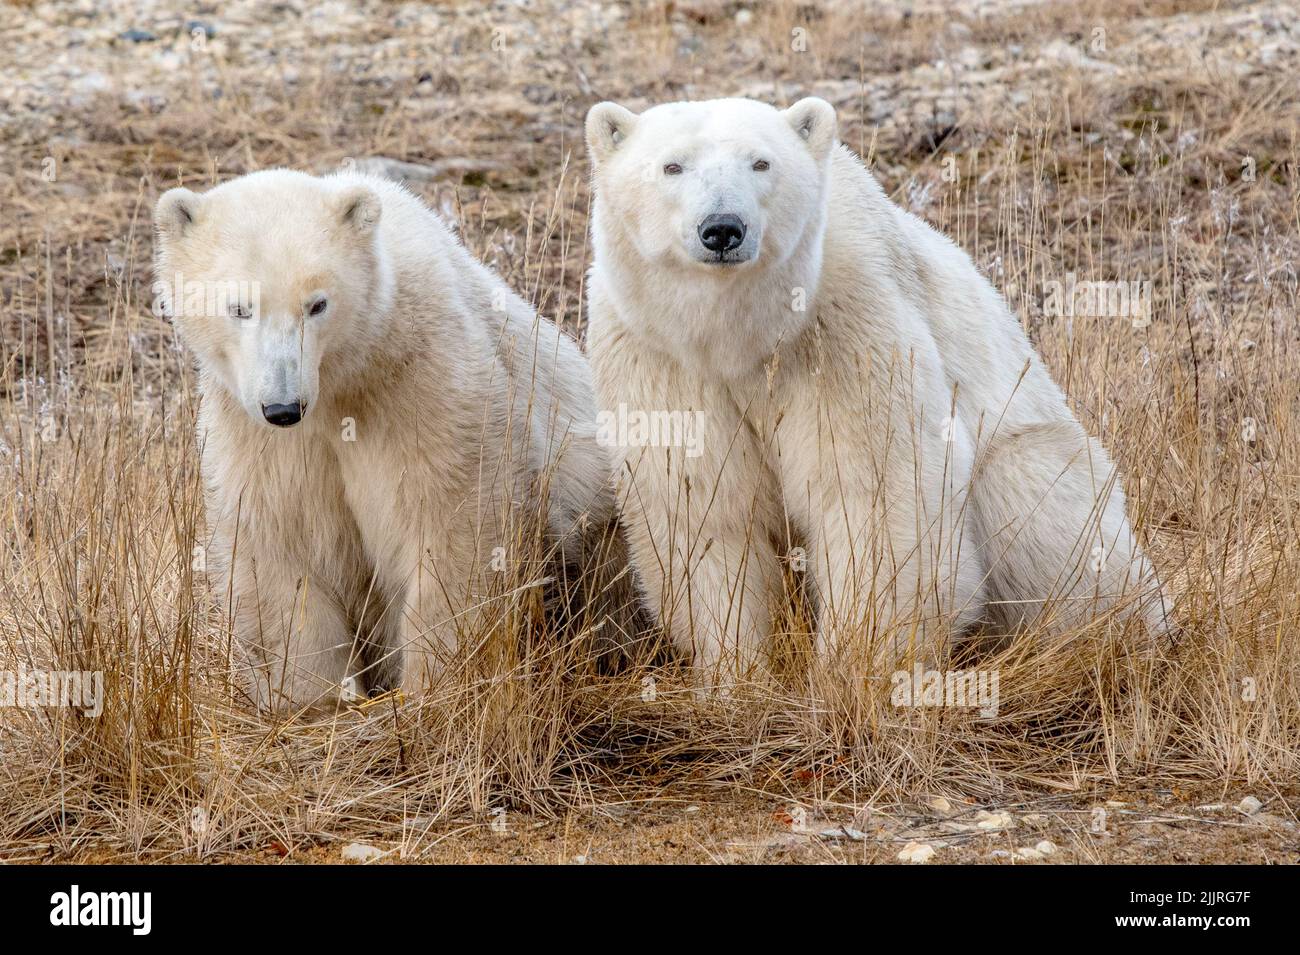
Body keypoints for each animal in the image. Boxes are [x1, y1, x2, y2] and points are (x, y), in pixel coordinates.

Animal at [154, 168, 633, 711]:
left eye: (317, 304)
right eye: (239, 307)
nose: (283, 406)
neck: (343, 380)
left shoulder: (419, 381)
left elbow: (449, 523)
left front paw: (434, 685)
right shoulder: (257, 433)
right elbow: (280, 542)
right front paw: (312, 700)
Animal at [583, 96, 1168, 689]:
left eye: (761, 162)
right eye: (671, 166)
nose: (722, 228)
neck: (745, 337)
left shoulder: (845, 327)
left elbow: (871, 491)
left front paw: (852, 668)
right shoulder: (659, 358)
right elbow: (702, 508)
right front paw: (735, 673)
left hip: (1048, 463)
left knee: (1036, 505)